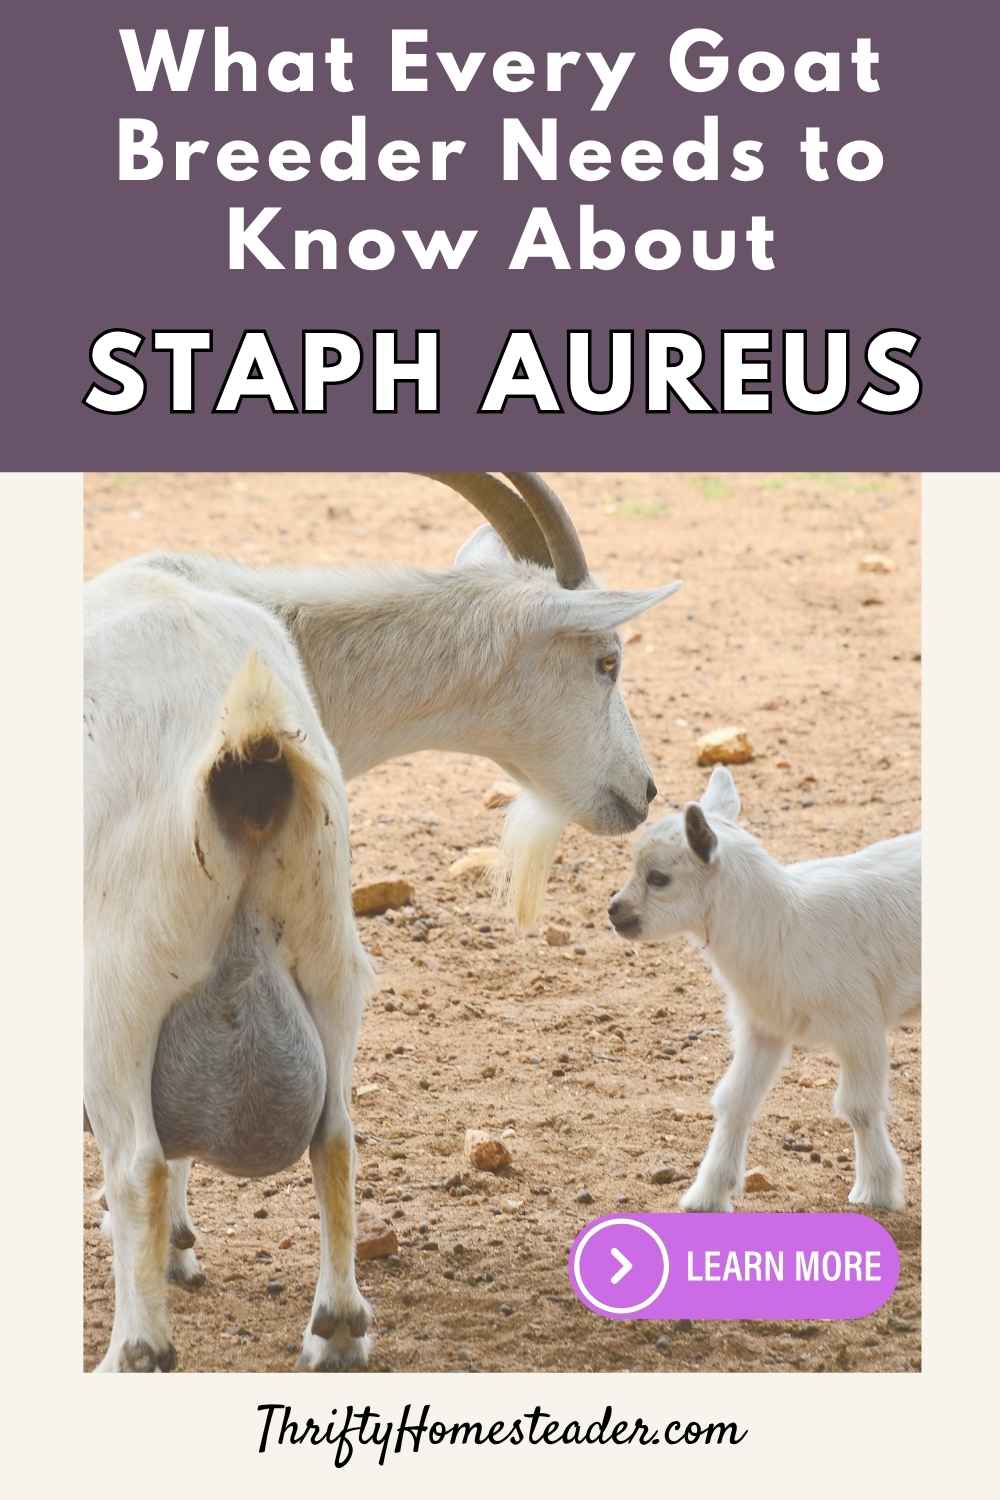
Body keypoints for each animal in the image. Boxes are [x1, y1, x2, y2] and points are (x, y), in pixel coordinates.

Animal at [86, 472, 681, 1371]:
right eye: (606, 661)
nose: (642, 791)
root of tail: (246, 741)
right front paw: (185, 1250)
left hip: (122, 984)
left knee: (136, 1164)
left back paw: (136, 1350)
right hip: (330, 951)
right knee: (334, 1136)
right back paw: (336, 1327)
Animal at [608, 766, 920, 1212]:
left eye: (659, 878)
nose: (614, 911)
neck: (784, 924)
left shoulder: (859, 1023)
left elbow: (859, 1107)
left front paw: (876, 1191)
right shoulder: (764, 1026)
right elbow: (734, 1100)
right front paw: (707, 1195)